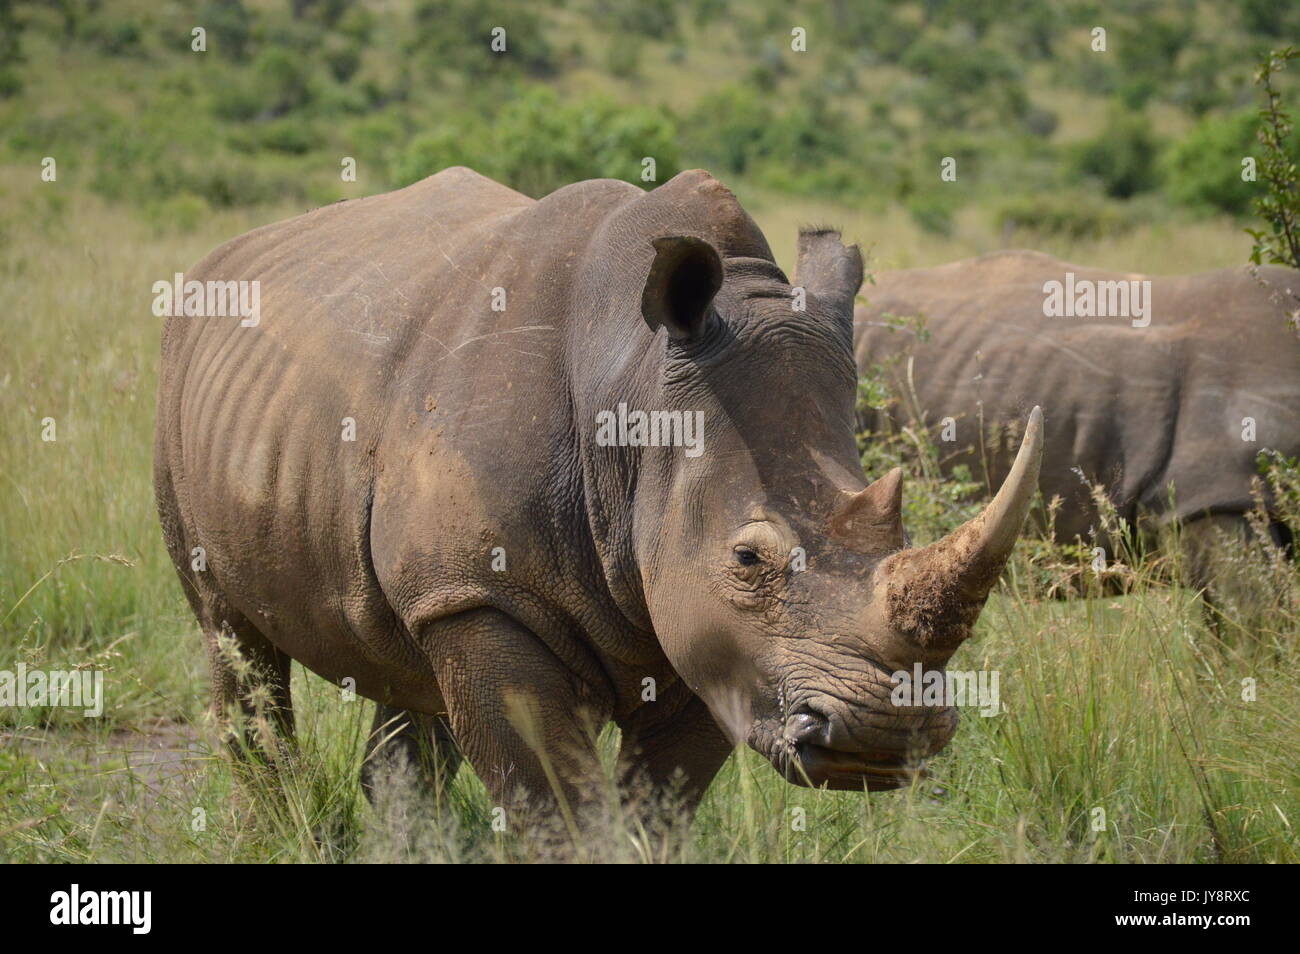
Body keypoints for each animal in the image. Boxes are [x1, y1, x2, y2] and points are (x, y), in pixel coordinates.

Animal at [154, 168, 1042, 831]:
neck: (633, 392)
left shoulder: (711, 636)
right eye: (748, 559)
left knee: (407, 670)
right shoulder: (489, 594)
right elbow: (562, 814)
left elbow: (658, 811)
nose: (882, 737)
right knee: (231, 637)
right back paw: (275, 825)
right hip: (190, 390)